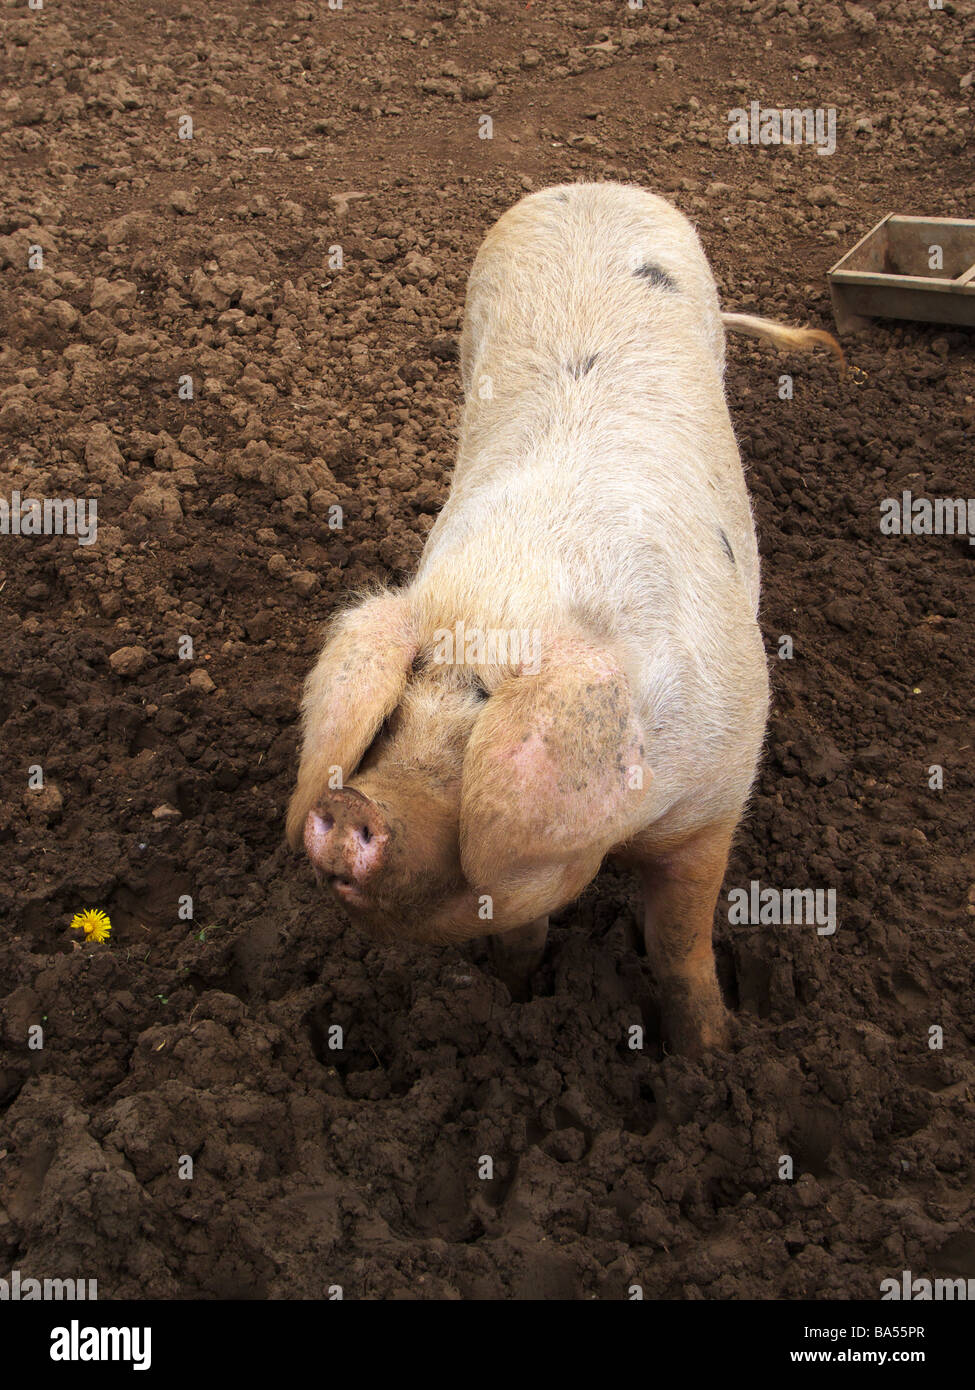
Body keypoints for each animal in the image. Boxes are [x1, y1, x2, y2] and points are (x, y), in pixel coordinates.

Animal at [287, 183, 841, 1056]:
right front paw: (517, 997)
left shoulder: (714, 799)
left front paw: (710, 1051)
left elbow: (680, 943)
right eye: (395, 712)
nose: (349, 807)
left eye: (482, 719)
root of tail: (590, 187)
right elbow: (521, 931)